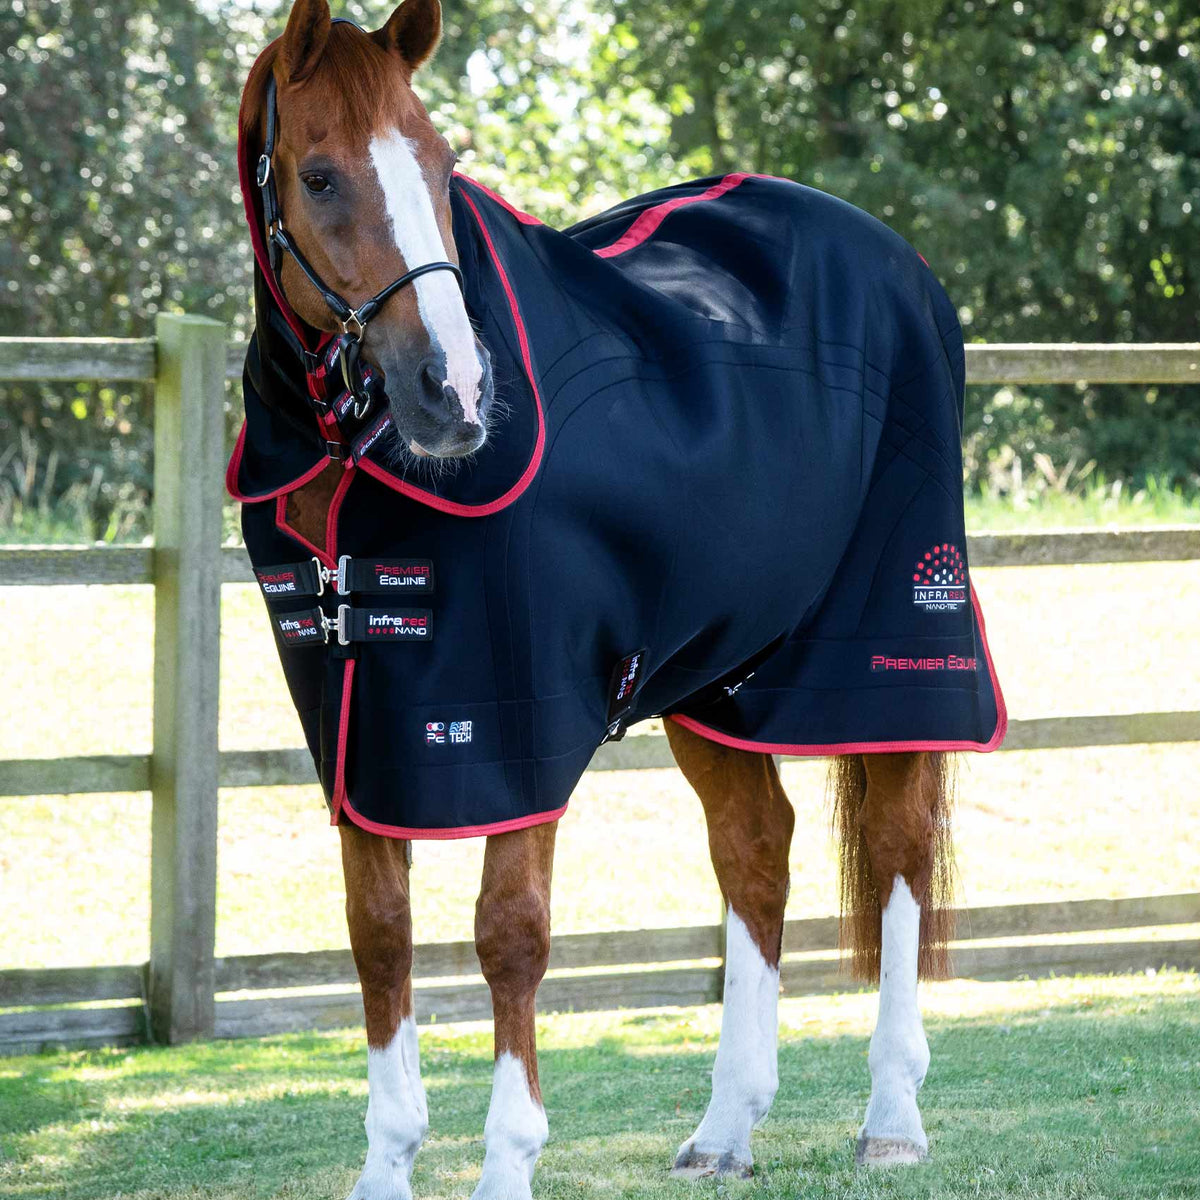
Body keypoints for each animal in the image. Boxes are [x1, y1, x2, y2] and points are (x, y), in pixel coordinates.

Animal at [230, 2, 1005, 1196]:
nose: (454, 392)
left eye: (441, 166)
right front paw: (387, 1165)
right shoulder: (364, 738)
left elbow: (509, 934)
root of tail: (900, 262)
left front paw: (508, 1163)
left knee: (898, 852)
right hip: (716, 678)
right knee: (756, 854)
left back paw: (891, 1116)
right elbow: (379, 933)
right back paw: (727, 1128)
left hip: (889, 652)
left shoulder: (513, 723)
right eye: (318, 177)